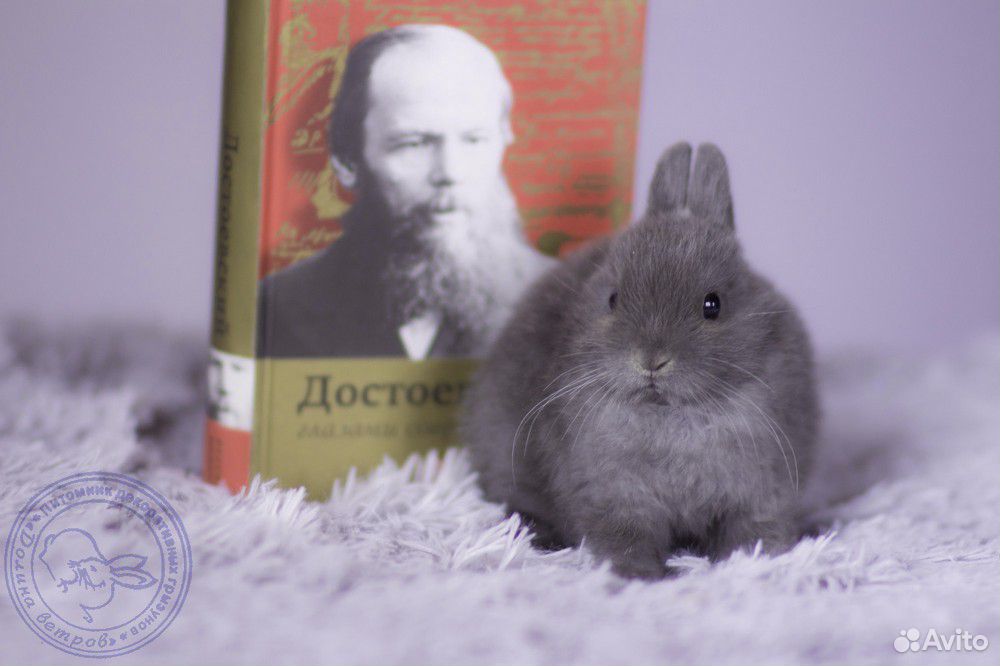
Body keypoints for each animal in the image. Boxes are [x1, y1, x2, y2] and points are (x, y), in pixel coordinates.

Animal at [461, 142, 818, 579]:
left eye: (712, 305)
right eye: (613, 299)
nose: (651, 360)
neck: (670, 416)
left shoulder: (762, 492)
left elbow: (754, 530)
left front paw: (751, 562)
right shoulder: (615, 498)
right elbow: (628, 538)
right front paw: (637, 575)